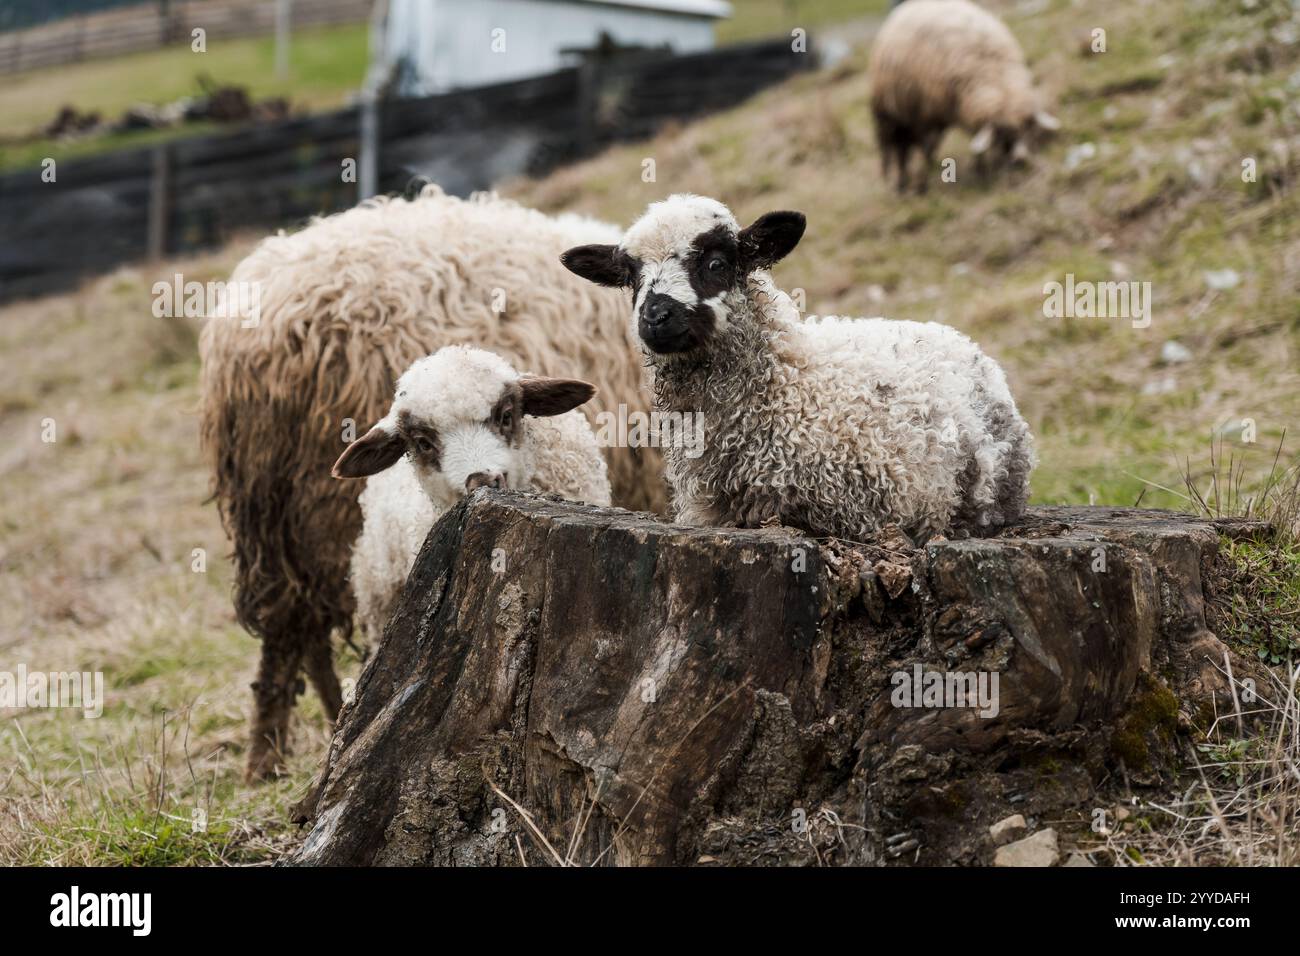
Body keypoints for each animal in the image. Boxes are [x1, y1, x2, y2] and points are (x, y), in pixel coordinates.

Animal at [868, 0, 1059, 192]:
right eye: (1001, 135)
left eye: (1029, 131)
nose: (1020, 161)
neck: (993, 72)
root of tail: (907, 6)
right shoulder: (927, 117)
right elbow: (926, 150)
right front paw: (922, 184)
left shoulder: (963, 111)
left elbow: (975, 145)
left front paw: (981, 172)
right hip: (890, 116)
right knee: (896, 150)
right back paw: (901, 184)